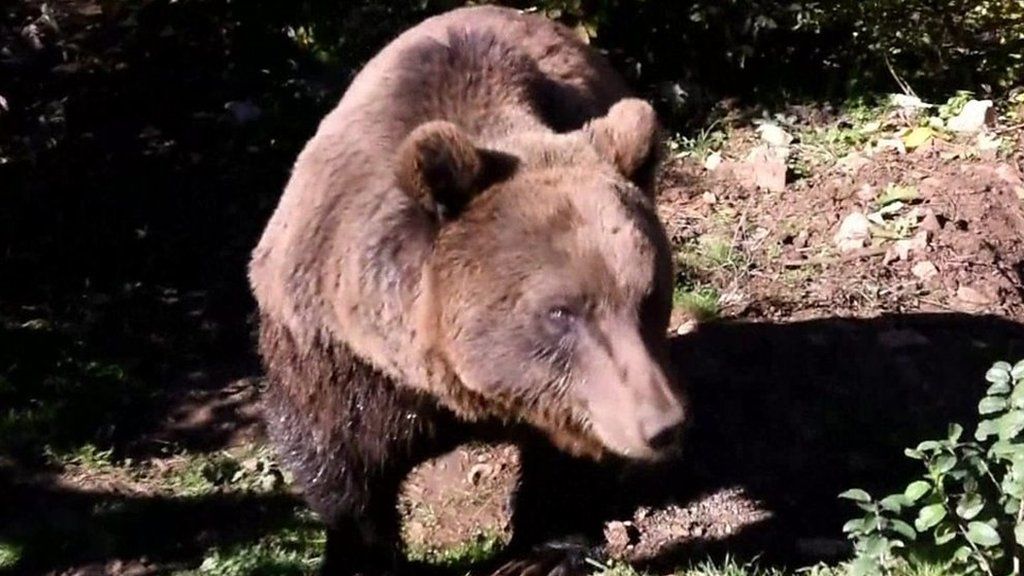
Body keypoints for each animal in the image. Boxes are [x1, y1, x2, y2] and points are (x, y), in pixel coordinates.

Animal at [247, 5, 688, 576]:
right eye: (561, 312)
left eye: (650, 295)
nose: (662, 425)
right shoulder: (338, 357)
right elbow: (341, 463)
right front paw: (359, 553)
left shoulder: (573, 393)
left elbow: (566, 461)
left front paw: (541, 553)